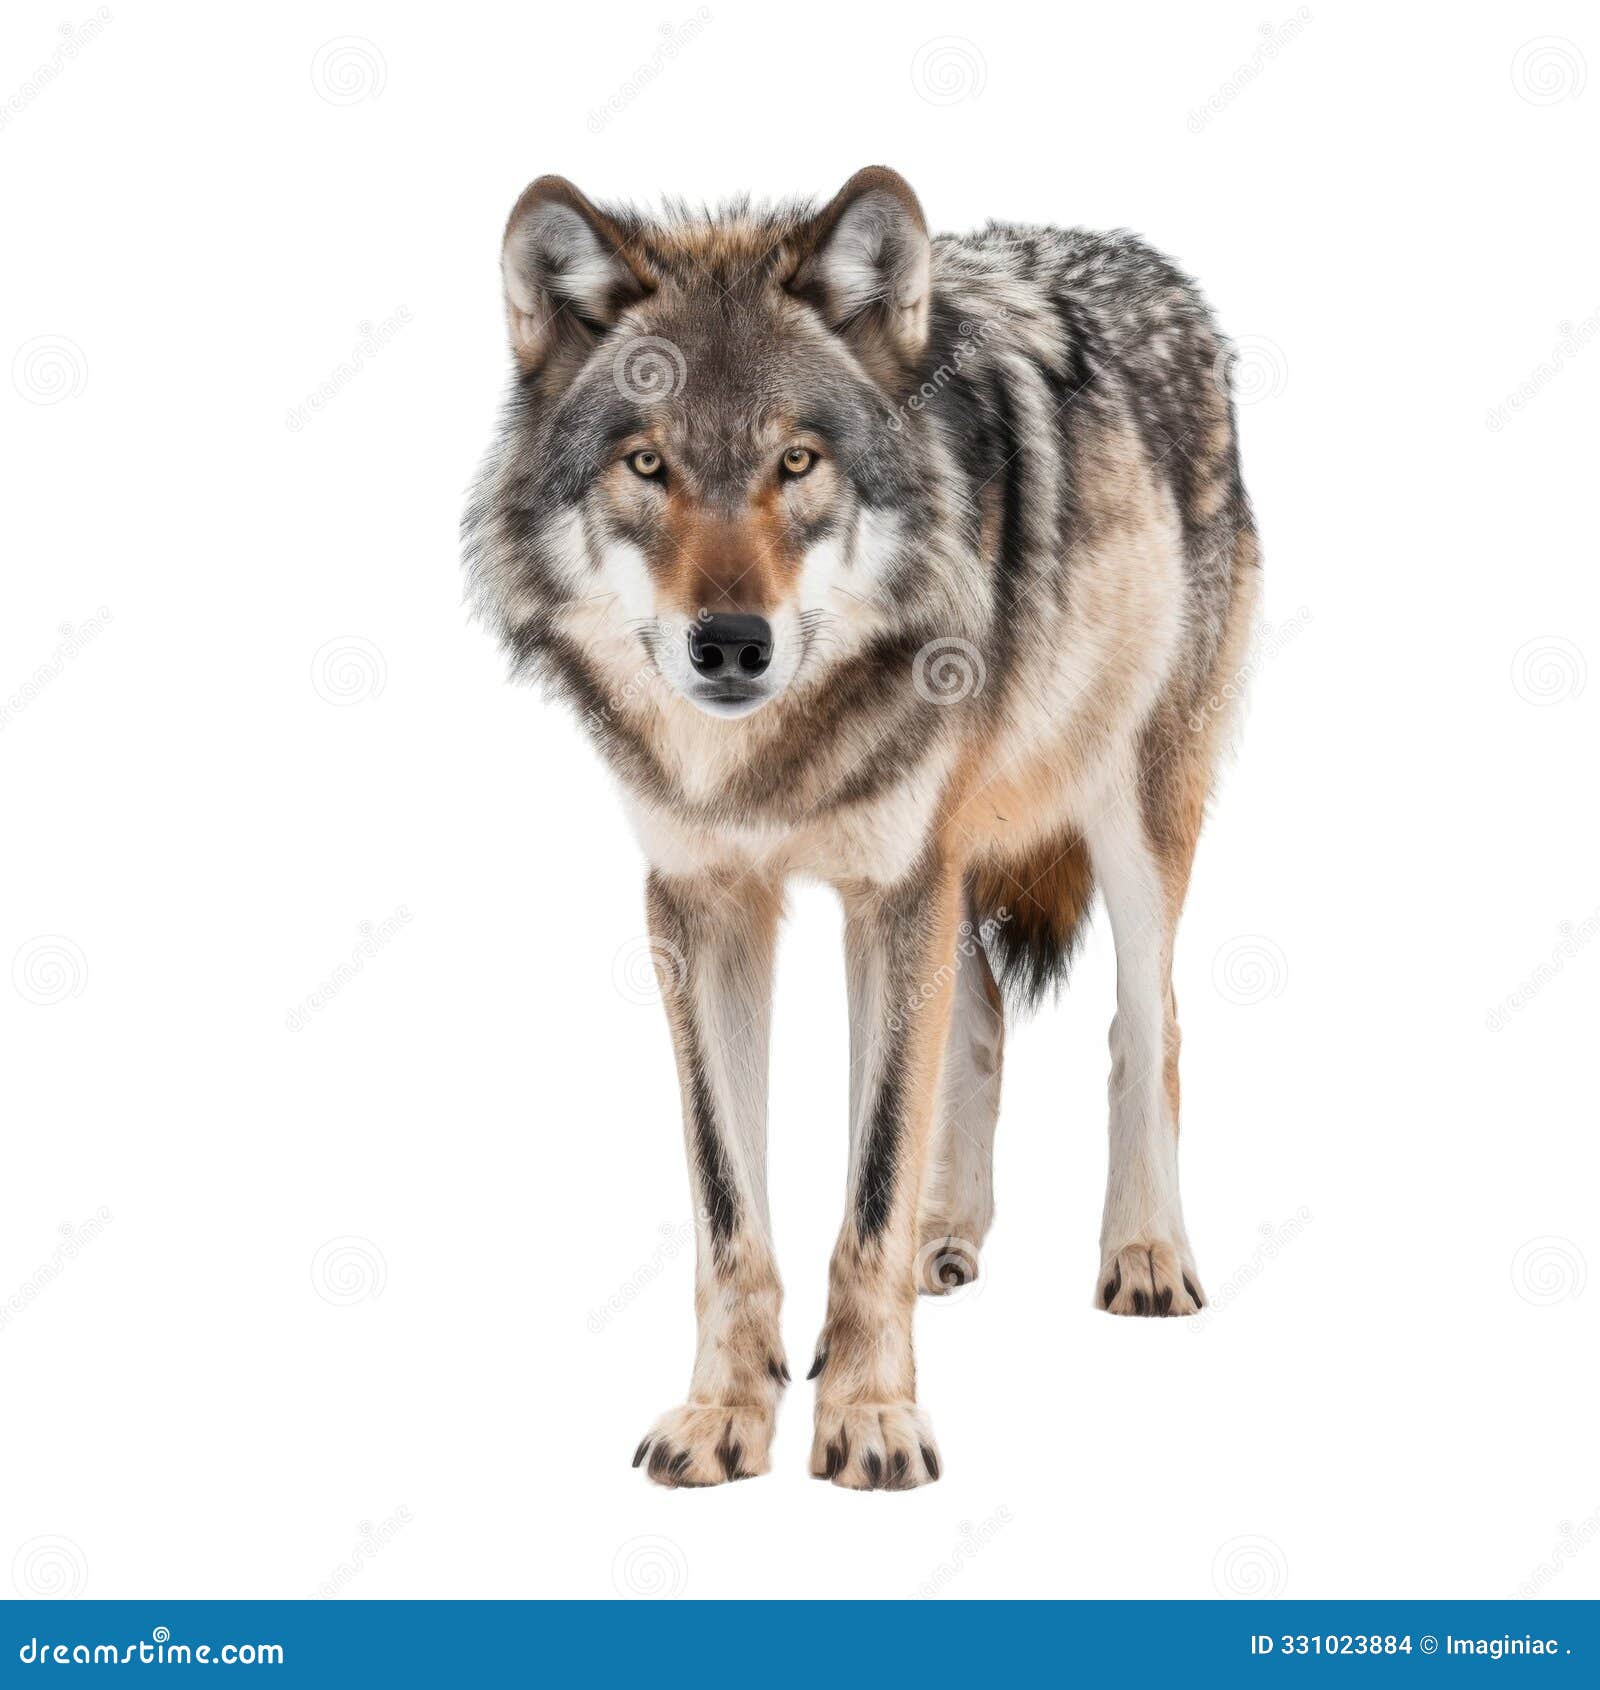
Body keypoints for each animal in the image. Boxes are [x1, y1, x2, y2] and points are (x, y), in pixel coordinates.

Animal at [463, 167, 1259, 1489]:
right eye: (646, 463)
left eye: (797, 460)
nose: (731, 644)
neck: (765, 764)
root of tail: (1149, 265)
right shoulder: (705, 904)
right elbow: (737, 1203)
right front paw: (726, 1415)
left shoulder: (896, 885)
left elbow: (871, 1173)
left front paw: (872, 1417)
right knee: (979, 1021)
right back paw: (947, 1238)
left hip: (1129, 811)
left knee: (1147, 1027)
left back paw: (1144, 1253)